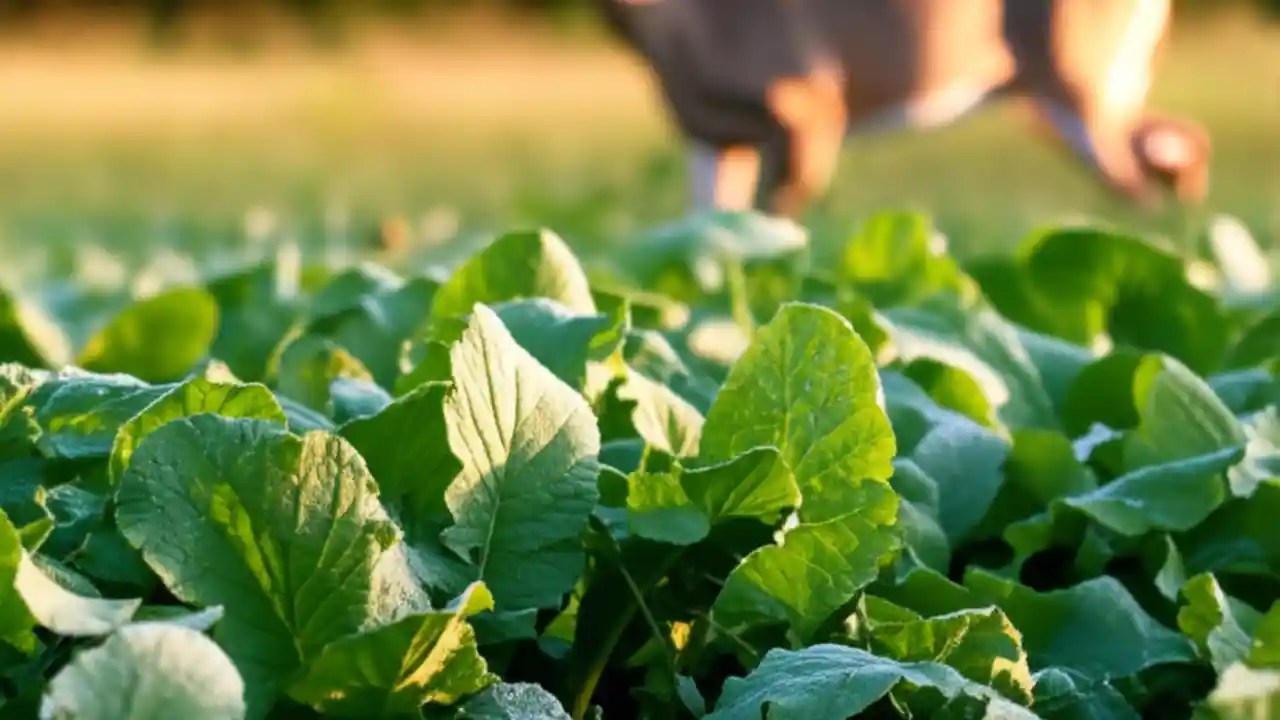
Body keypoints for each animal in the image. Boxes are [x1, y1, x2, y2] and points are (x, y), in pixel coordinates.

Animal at [600, 0, 1212, 218]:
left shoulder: (812, 110)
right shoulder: (711, 137)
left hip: (1078, 81)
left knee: (1141, 182)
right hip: (1064, 96)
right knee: (1179, 144)